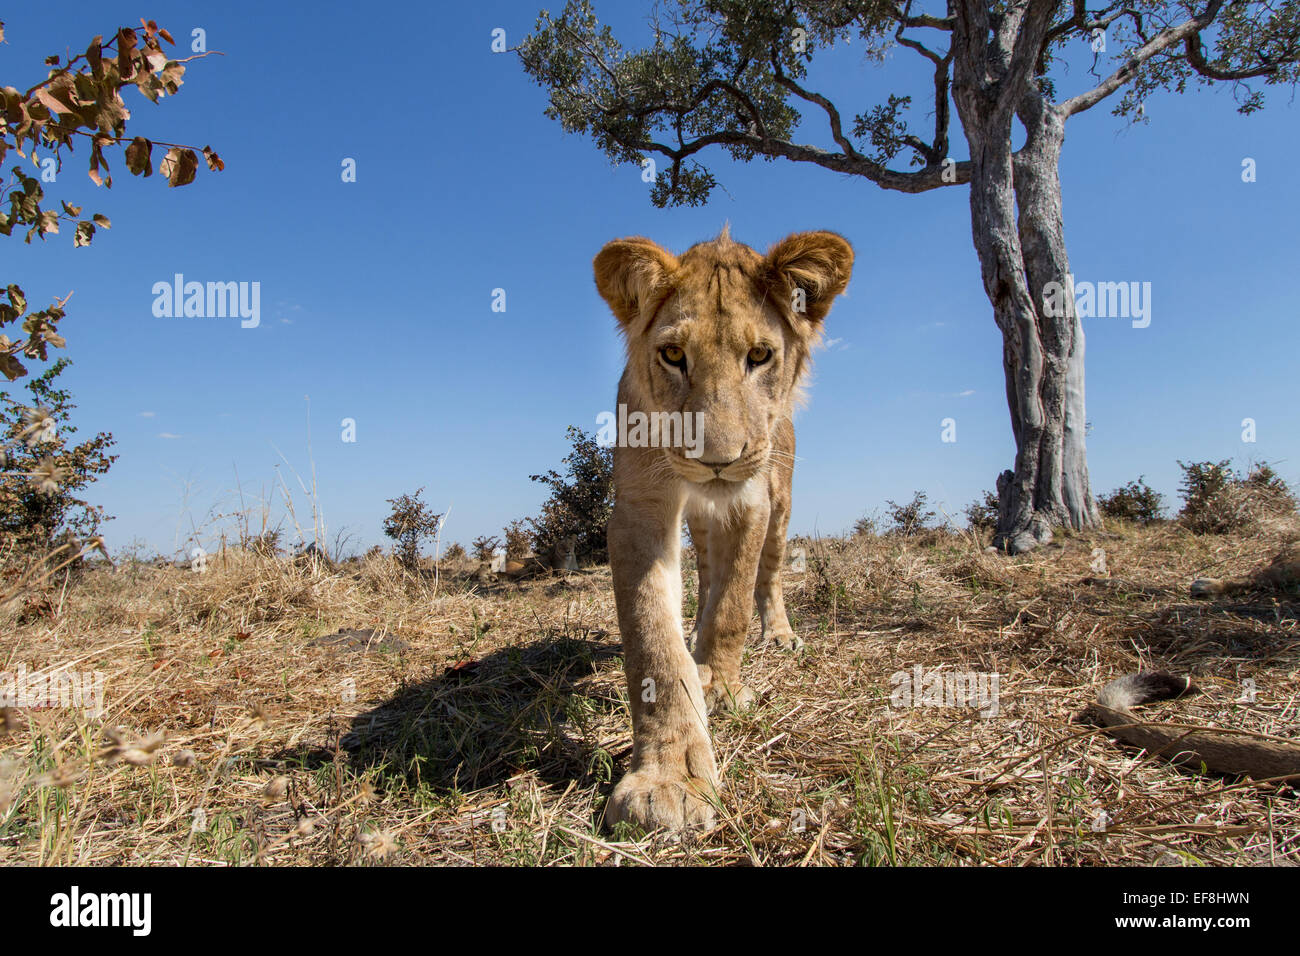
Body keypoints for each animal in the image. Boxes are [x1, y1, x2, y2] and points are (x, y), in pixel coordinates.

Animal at [593, 227, 853, 832]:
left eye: (759, 356)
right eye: (672, 355)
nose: (717, 461)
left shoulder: (750, 501)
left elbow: (734, 606)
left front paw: (722, 684)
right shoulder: (641, 506)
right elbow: (653, 641)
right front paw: (669, 779)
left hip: (780, 502)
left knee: (766, 577)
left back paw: (776, 636)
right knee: (708, 576)